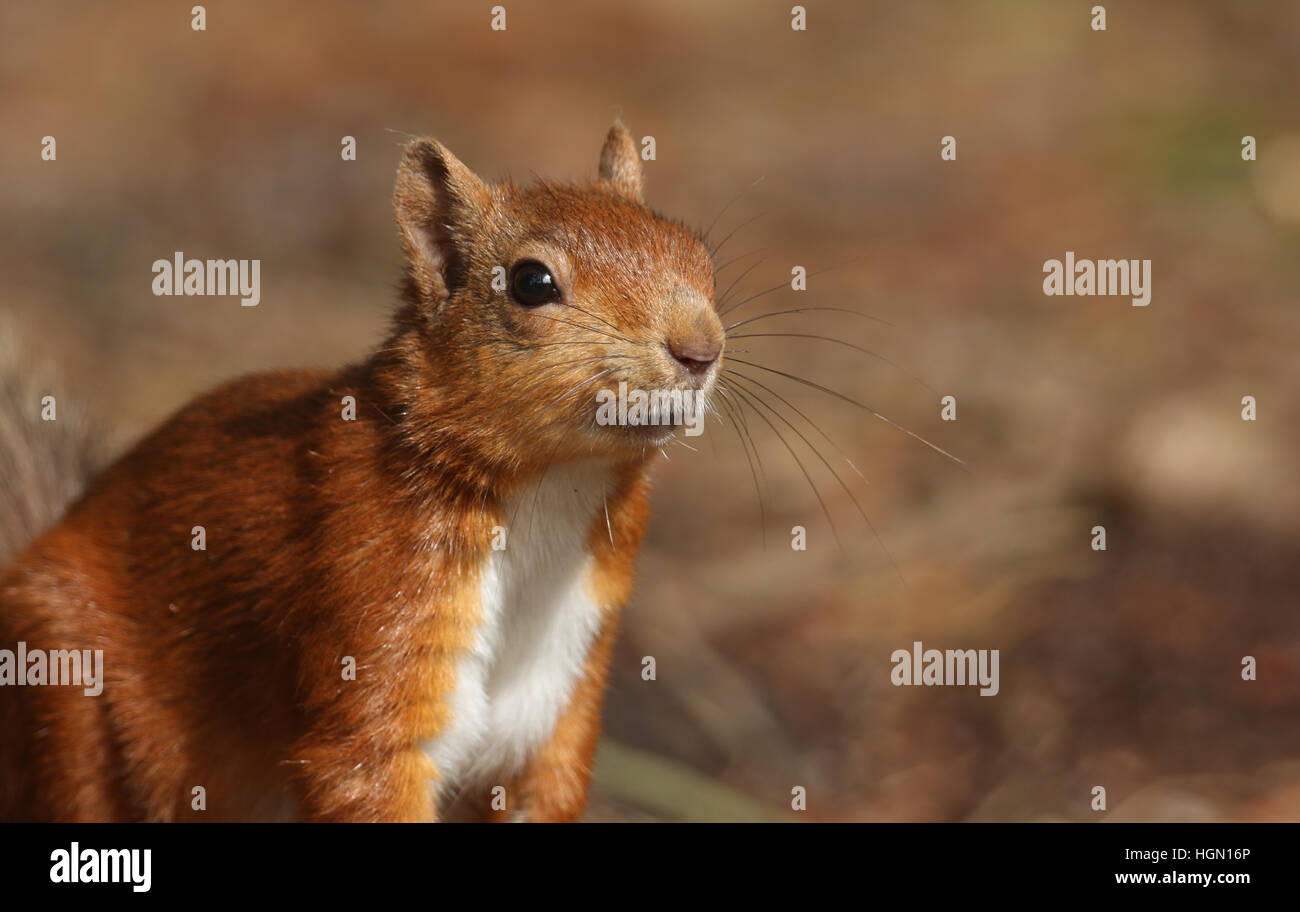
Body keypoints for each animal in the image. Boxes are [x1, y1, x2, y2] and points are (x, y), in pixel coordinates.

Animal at [0, 123, 724, 822]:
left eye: (696, 250)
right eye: (531, 282)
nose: (701, 348)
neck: (552, 491)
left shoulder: (560, 695)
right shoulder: (371, 593)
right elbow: (362, 767)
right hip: (68, 696)